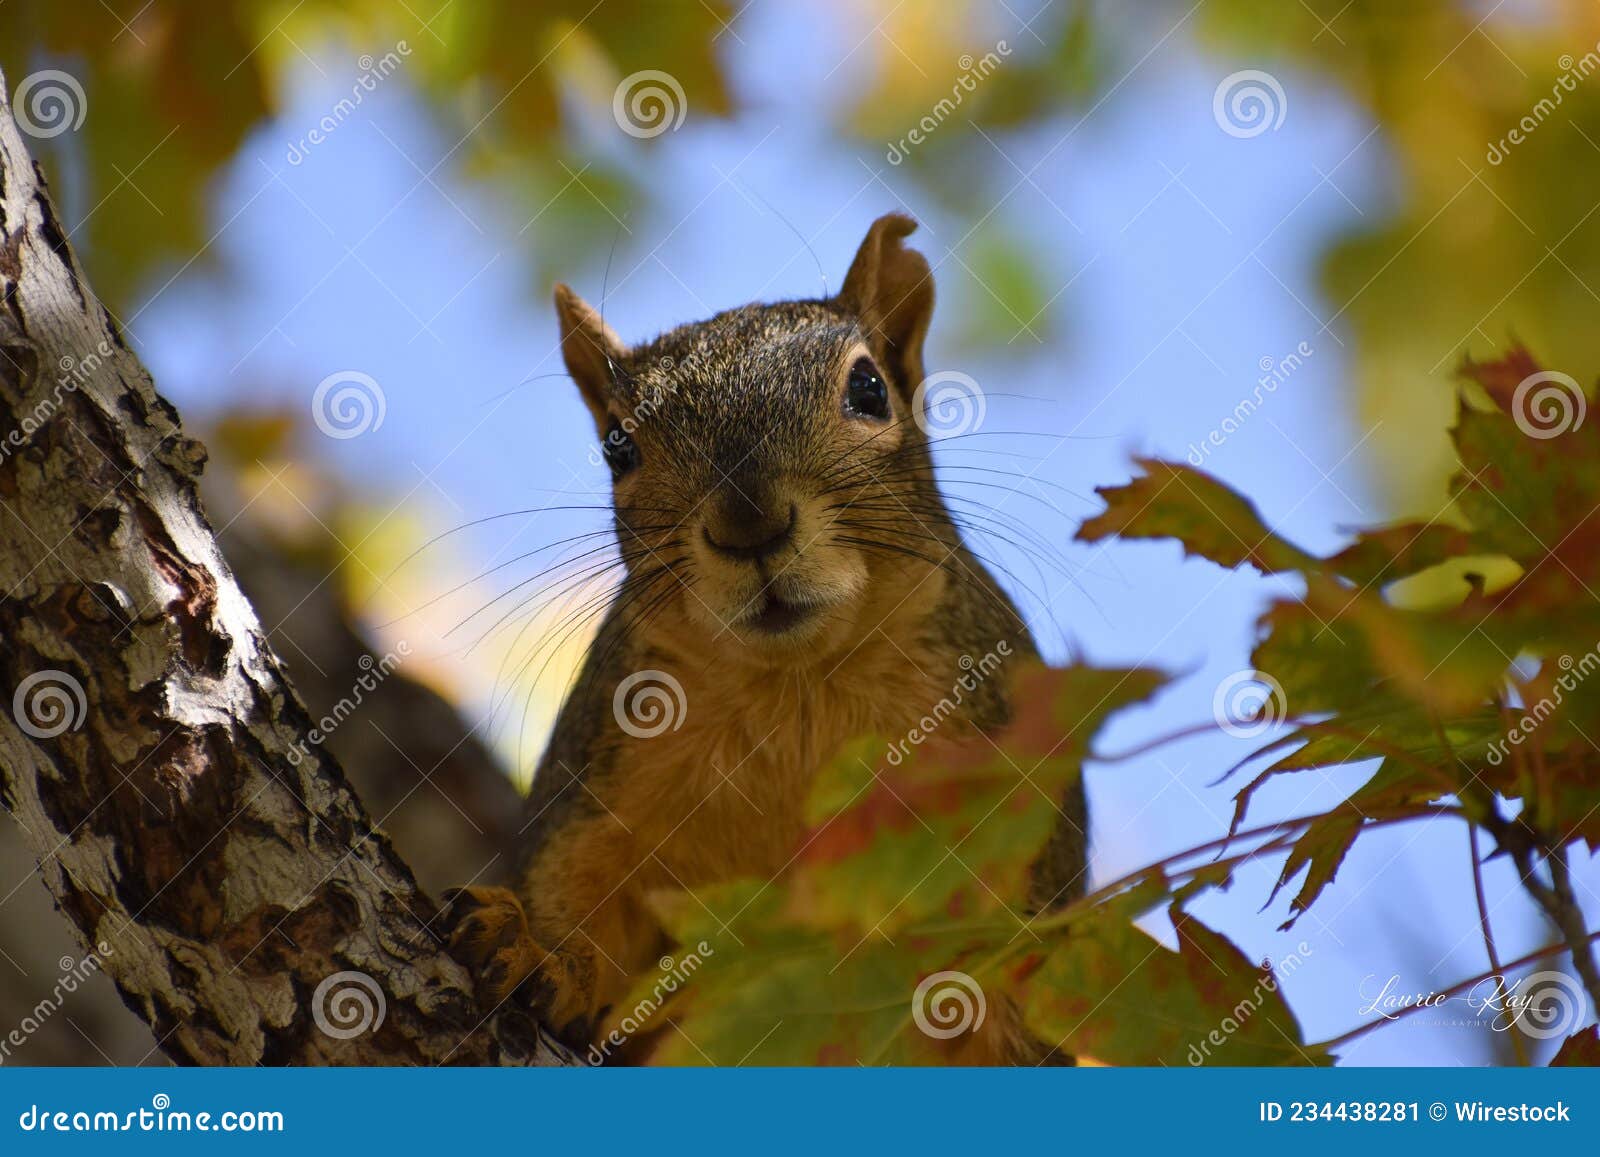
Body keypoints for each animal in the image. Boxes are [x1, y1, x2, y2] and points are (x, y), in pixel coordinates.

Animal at [442, 214, 1083, 1064]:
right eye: (617, 446)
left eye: (869, 388)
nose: (749, 526)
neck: (798, 685)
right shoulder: (599, 785)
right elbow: (579, 893)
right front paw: (537, 949)